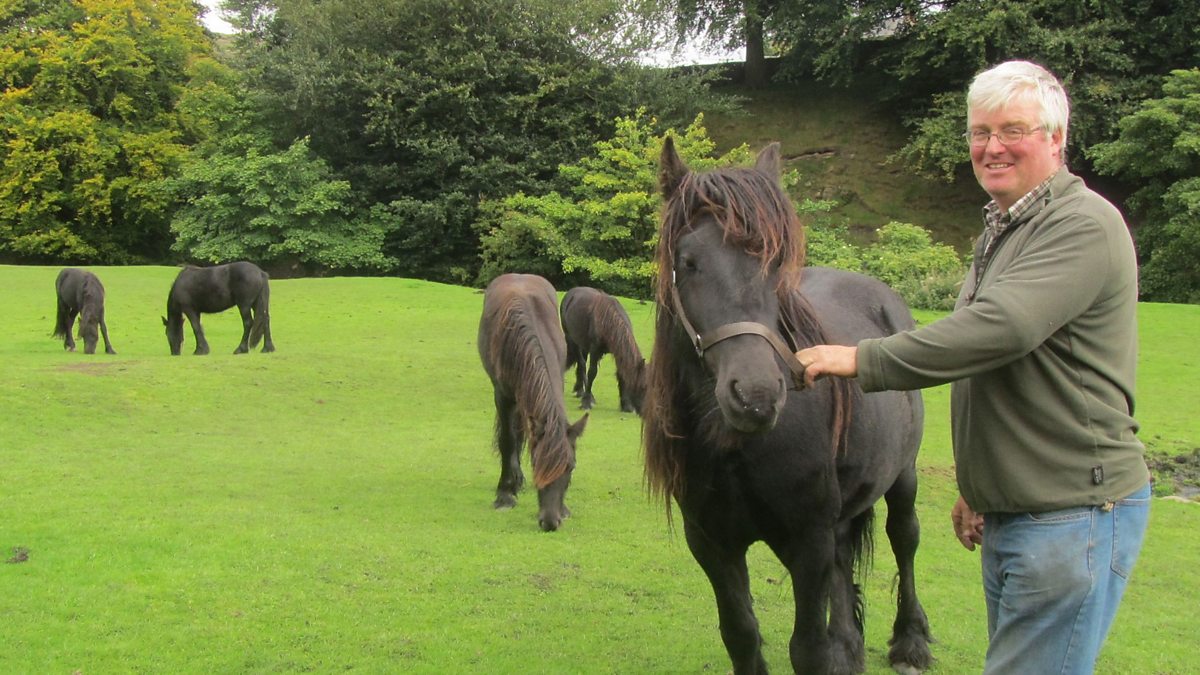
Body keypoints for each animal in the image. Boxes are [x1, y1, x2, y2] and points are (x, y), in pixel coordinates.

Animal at [478, 273, 588, 532]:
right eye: (536, 463)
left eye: (571, 466)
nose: (550, 521)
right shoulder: (503, 396)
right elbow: (507, 441)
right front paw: (505, 495)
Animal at [643, 138, 932, 674]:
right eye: (688, 261)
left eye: (776, 262)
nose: (756, 395)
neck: (738, 448)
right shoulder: (711, 541)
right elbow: (742, 634)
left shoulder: (808, 540)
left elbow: (809, 648)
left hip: (903, 478)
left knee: (905, 538)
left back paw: (911, 640)